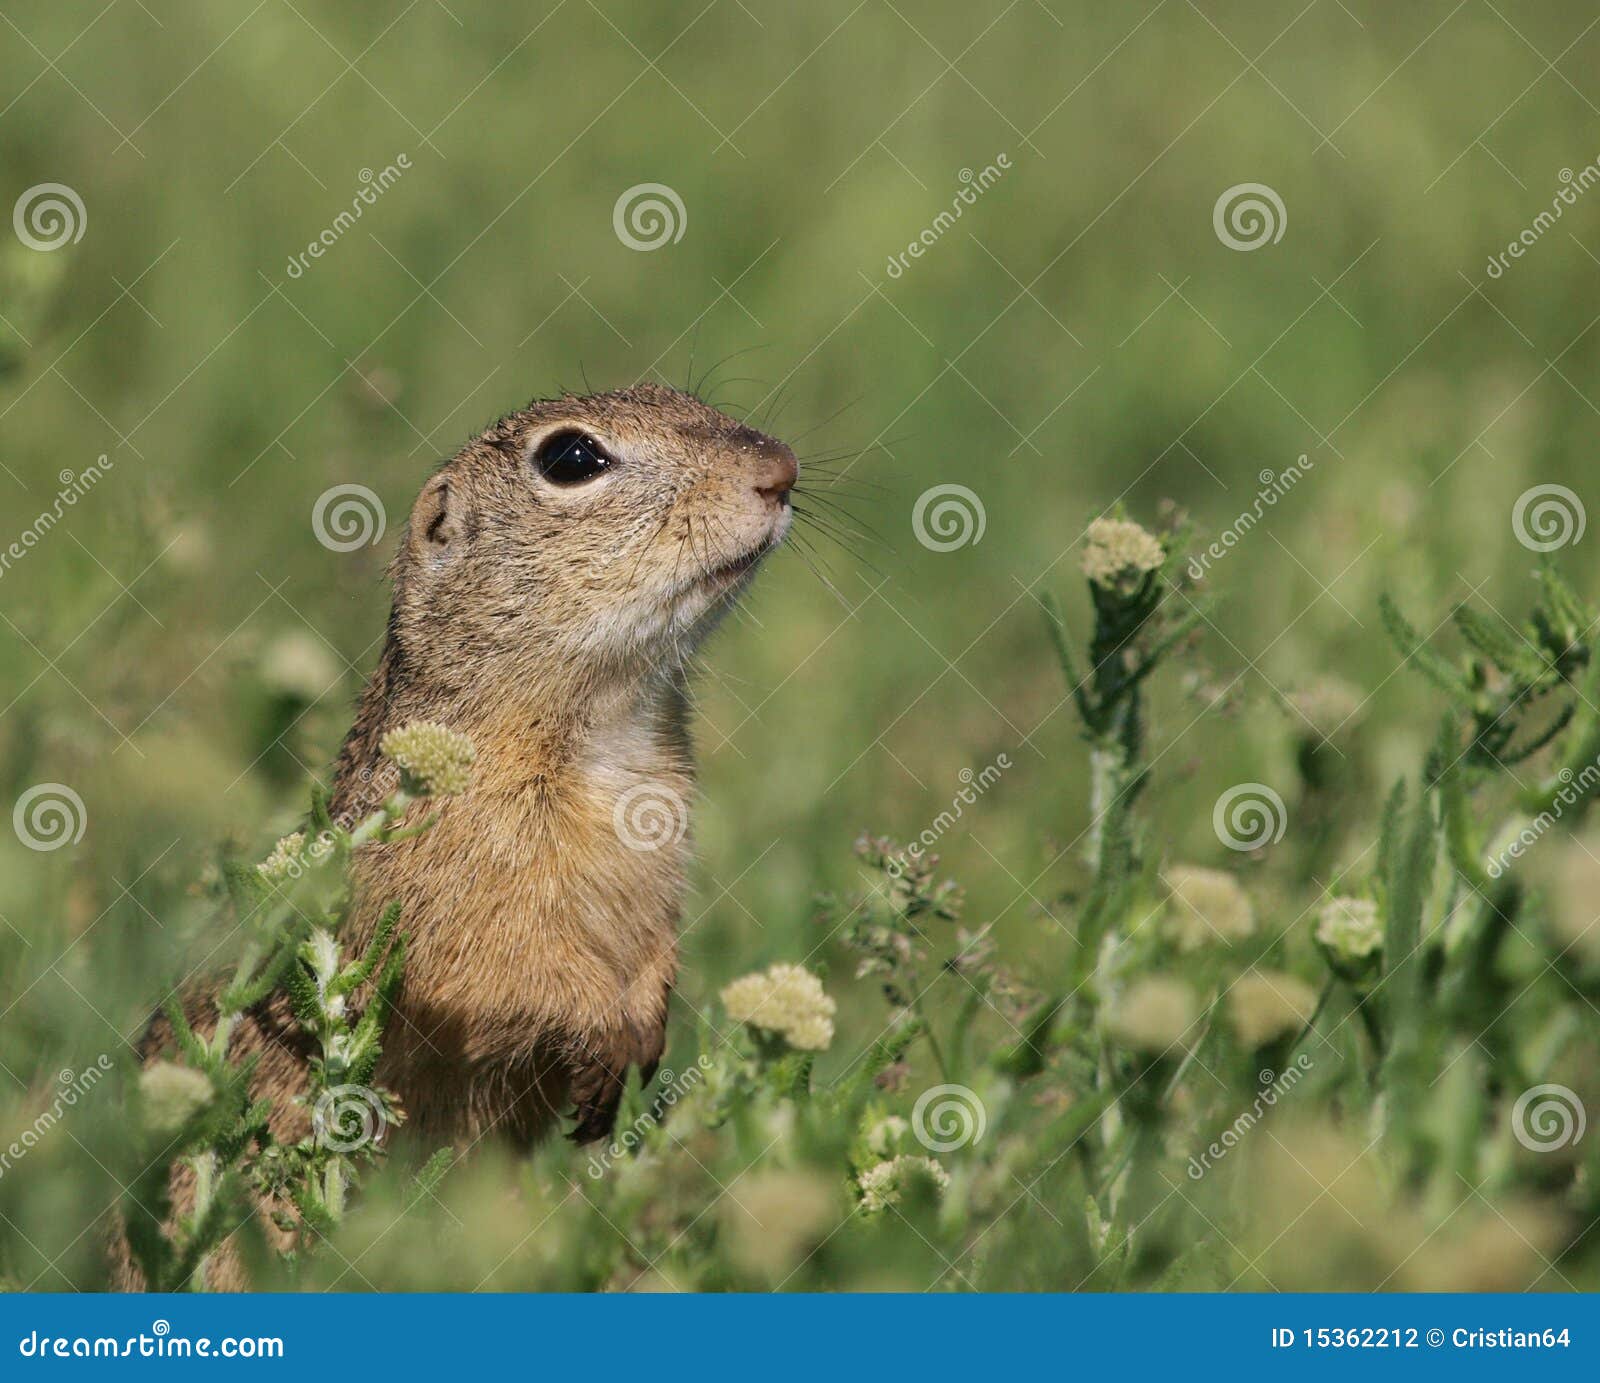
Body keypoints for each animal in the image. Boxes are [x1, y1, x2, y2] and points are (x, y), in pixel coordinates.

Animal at [116, 384, 796, 1287]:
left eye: (688, 395)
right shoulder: (453, 875)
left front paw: (648, 1027)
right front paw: (605, 1036)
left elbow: (655, 946)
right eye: (571, 458)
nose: (782, 469)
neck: (609, 727)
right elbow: (505, 963)